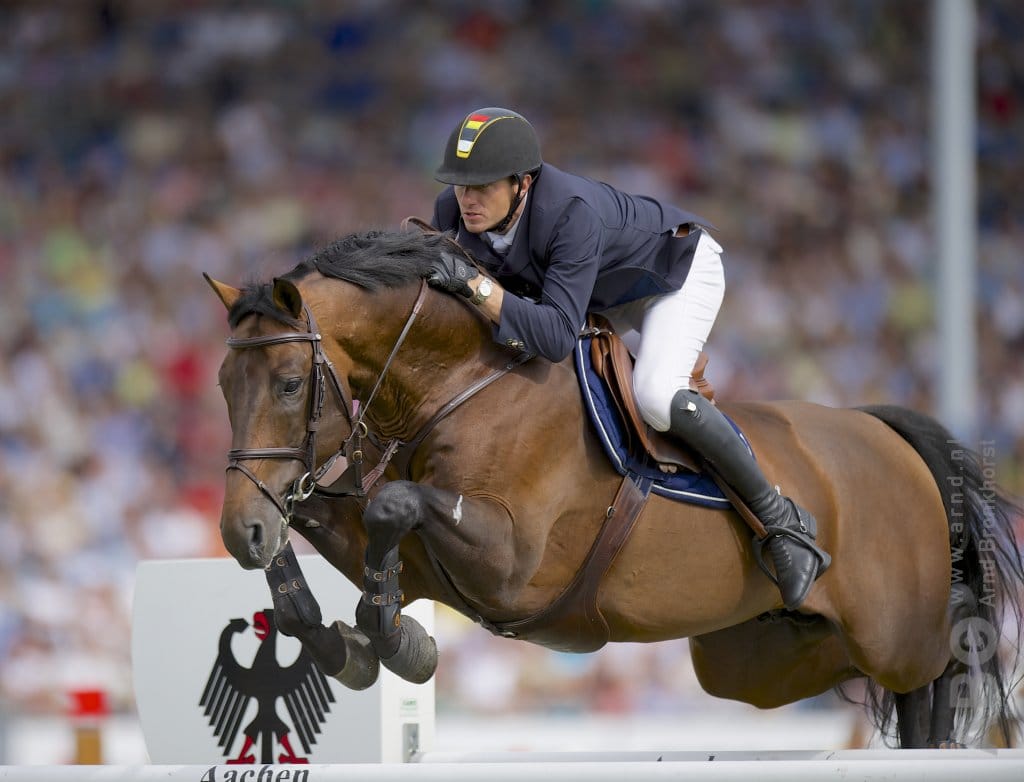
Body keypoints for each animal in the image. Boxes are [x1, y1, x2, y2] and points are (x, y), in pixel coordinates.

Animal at [204, 228, 1024, 748]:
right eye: (221, 383)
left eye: (287, 383)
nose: (238, 533)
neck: (458, 382)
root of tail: (886, 433)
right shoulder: (423, 563)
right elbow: (323, 524)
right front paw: (345, 643)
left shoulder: (511, 564)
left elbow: (389, 504)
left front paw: (396, 642)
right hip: (755, 657)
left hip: (895, 634)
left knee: (942, 661)